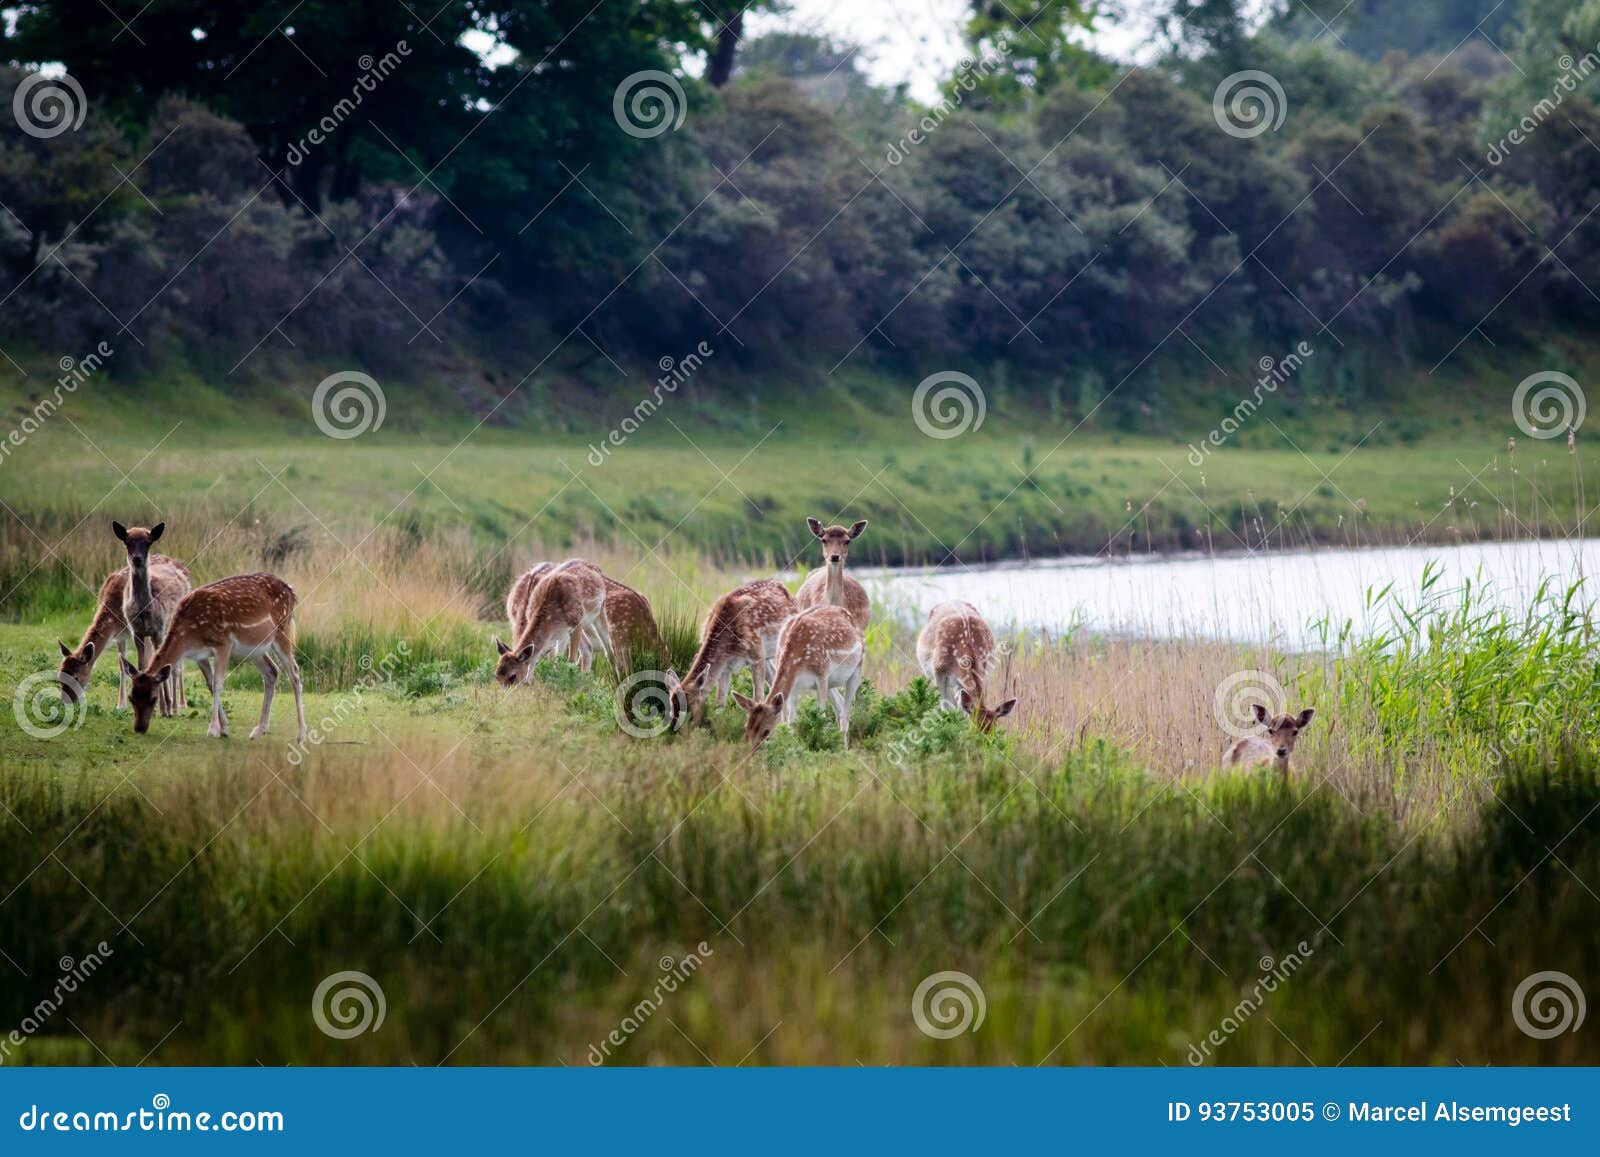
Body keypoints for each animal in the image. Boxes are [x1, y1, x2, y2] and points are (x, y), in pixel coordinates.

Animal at [57, 569, 131, 709]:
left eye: (76, 677)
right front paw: (120, 705)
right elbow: (123, 667)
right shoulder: (120, 637)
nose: (65, 701)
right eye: (60, 676)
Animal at [112, 521, 192, 718]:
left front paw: (165, 707)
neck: (144, 611)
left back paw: (174, 707)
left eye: (147, 542)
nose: (137, 559)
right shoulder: (137, 632)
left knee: (174, 664)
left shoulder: (158, 630)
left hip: (172, 627)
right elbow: (142, 665)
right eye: (127, 542)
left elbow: (160, 665)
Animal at [122, 572, 305, 742]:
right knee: (271, 671)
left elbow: (218, 684)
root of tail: (291, 591)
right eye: (131, 697)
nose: (139, 728)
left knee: (294, 673)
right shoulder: (199, 656)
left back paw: (301, 734)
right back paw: (259, 730)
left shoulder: (223, 644)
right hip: (255, 649)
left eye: (153, 698)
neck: (189, 636)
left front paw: (213, 729)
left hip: (282, 631)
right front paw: (224, 729)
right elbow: (210, 684)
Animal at [664, 579, 793, 730]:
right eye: (671, 711)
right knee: (774, 677)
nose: (673, 732)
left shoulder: (756, 654)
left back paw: (788, 727)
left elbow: (758, 698)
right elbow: (720, 704)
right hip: (766, 655)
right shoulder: (725, 666)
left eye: (691, 713)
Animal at [734, 604, 864, 750]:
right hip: (832, 683)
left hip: (857, 668)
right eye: (746, 727)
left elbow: (821, 717)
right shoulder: (795, 686)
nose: (751, 751)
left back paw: (844, 749)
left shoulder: (822, 674)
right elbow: (791, 722)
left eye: (766, 731)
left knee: (846, 713)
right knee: (839, 705)